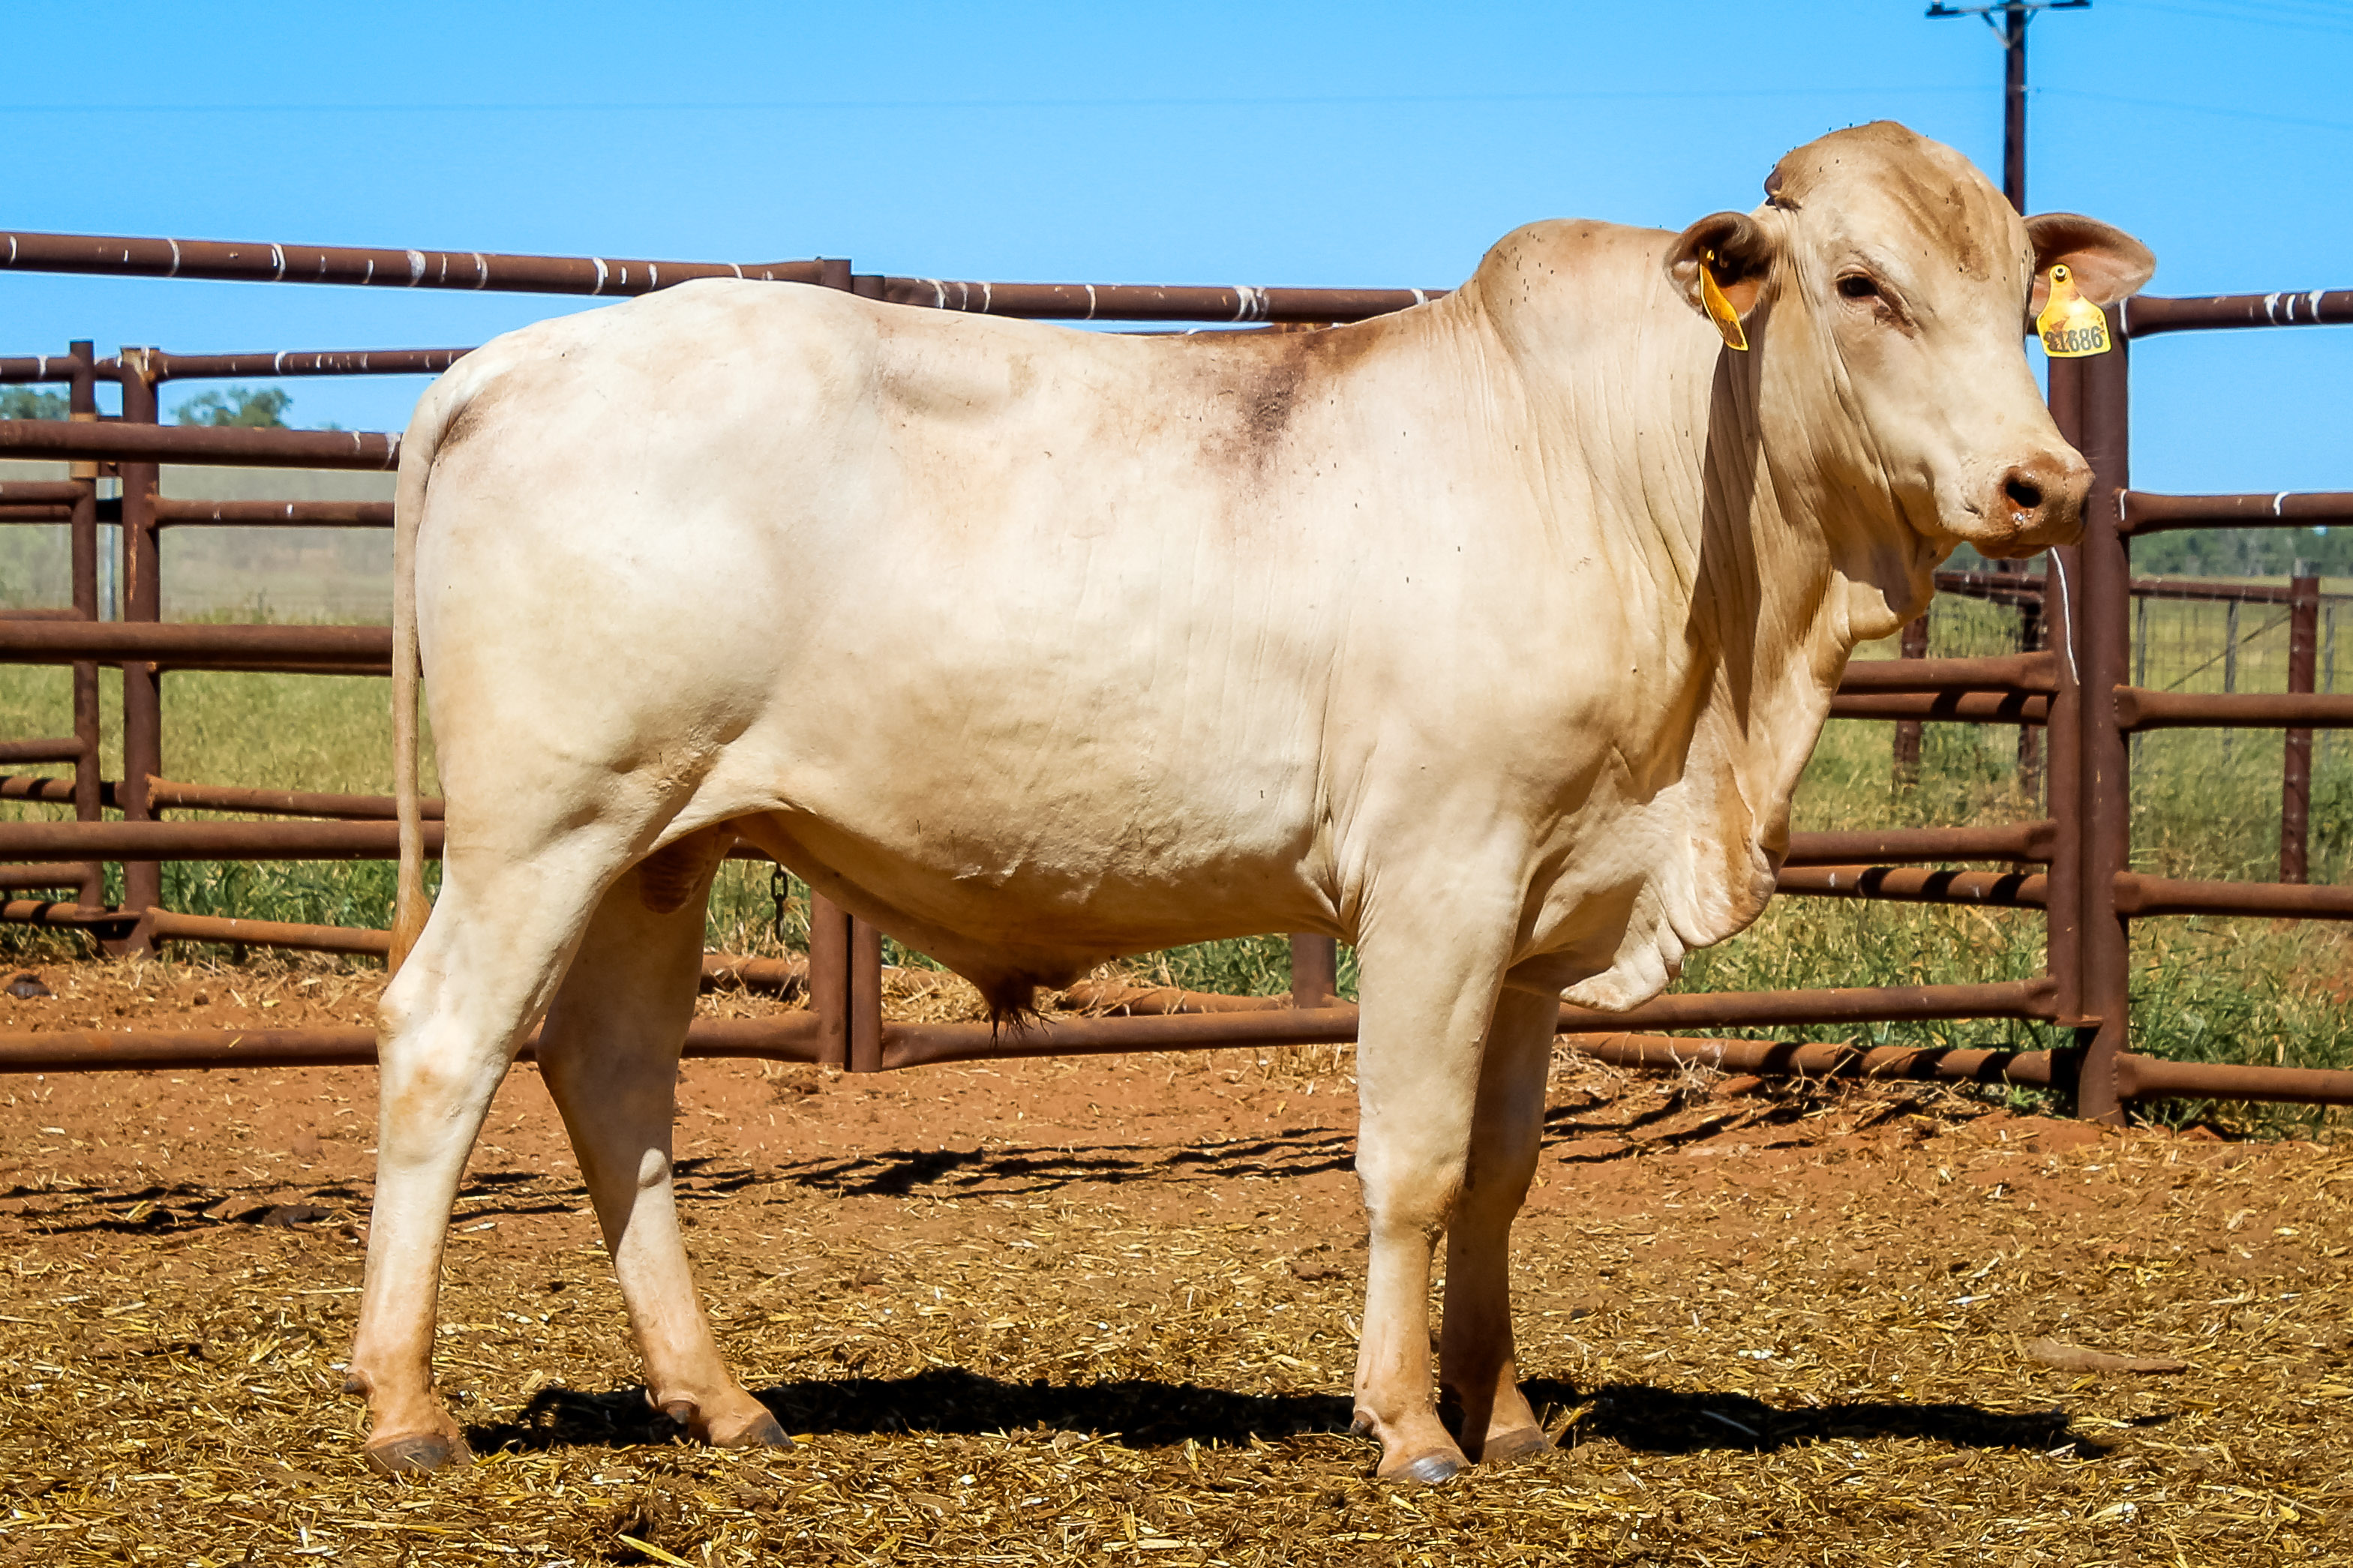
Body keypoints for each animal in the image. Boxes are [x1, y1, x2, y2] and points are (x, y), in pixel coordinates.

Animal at [344, 121, 2153, 1483]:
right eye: (1860, 284)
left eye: (2017, 290)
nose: (2043, 481)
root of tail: (507, 359)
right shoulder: (1440, 870)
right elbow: (1412, 1158)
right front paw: (1411, 1427)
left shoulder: (1541, 910)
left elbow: (1502, 1171)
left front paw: (1506, 1412)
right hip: (545, 825)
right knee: (445, 1042)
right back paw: (408, 1405)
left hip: (663, 843)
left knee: (612, 1078)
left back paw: (717, 1397)